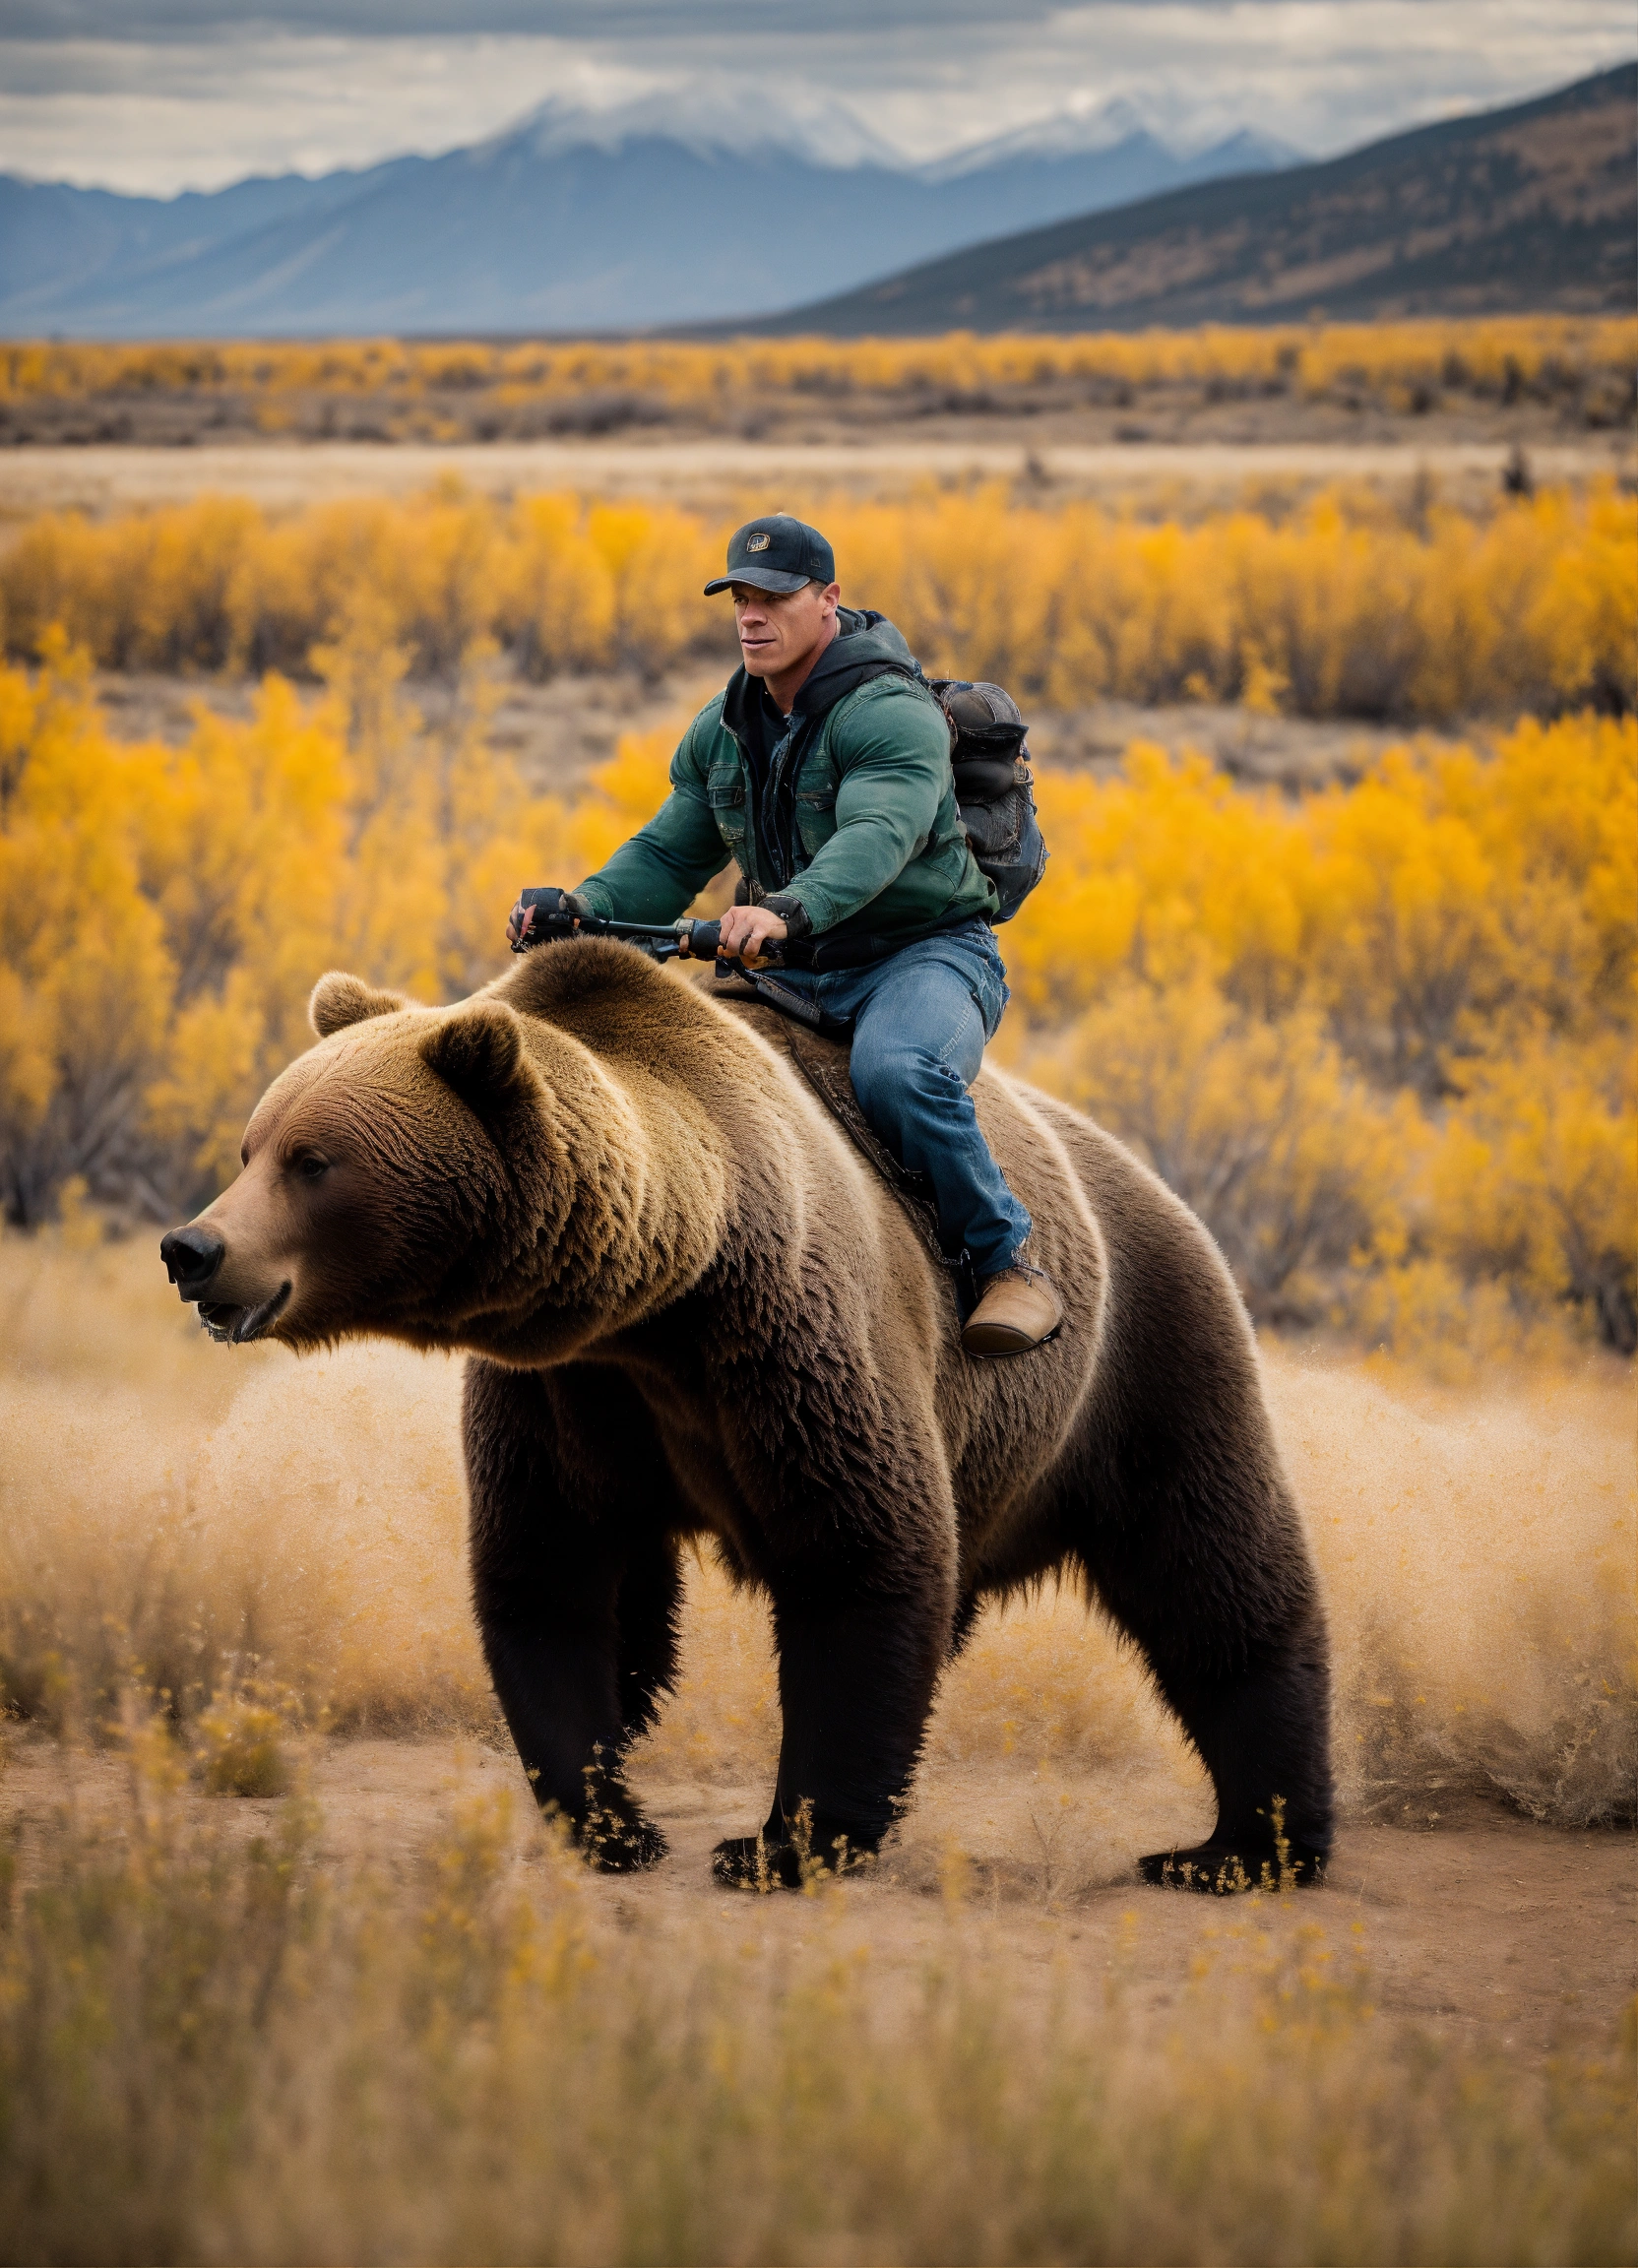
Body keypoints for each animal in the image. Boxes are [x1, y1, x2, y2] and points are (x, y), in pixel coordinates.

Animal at [159, 939, 1334, 1893]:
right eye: (252, 1144)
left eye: (314, 1161)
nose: (194, 1249)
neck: (664, 1297)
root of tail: (1155, 1180)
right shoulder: (569, 1398)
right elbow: (554, 1583)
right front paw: (611, 1819)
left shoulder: (794, 1346)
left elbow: (859, 1561)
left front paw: (780, 1843)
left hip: (1142, 1358)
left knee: (1215, 1577)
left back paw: (1243, 1847)